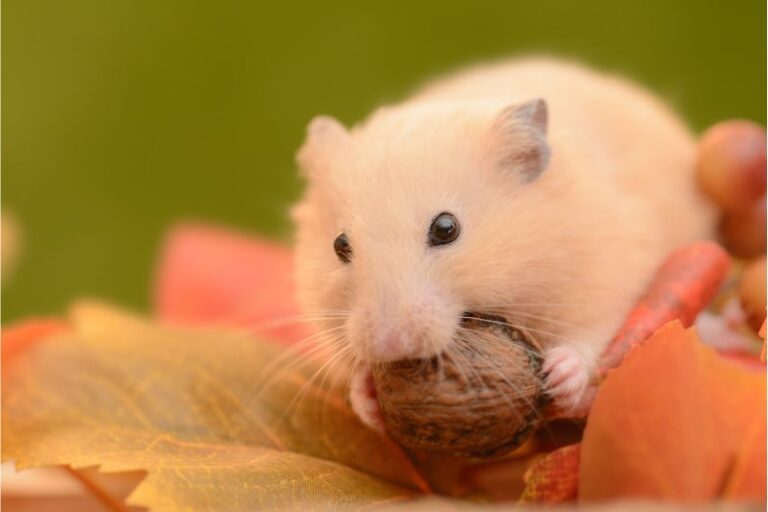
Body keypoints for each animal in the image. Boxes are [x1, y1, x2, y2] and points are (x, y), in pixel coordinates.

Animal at [291, 57, 715, 427]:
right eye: (340, 245)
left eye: (446, 228)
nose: (389, 345)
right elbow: (354, 376)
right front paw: (366, 397)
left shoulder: (605, 276)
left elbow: (588, 335)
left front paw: (559, 376)